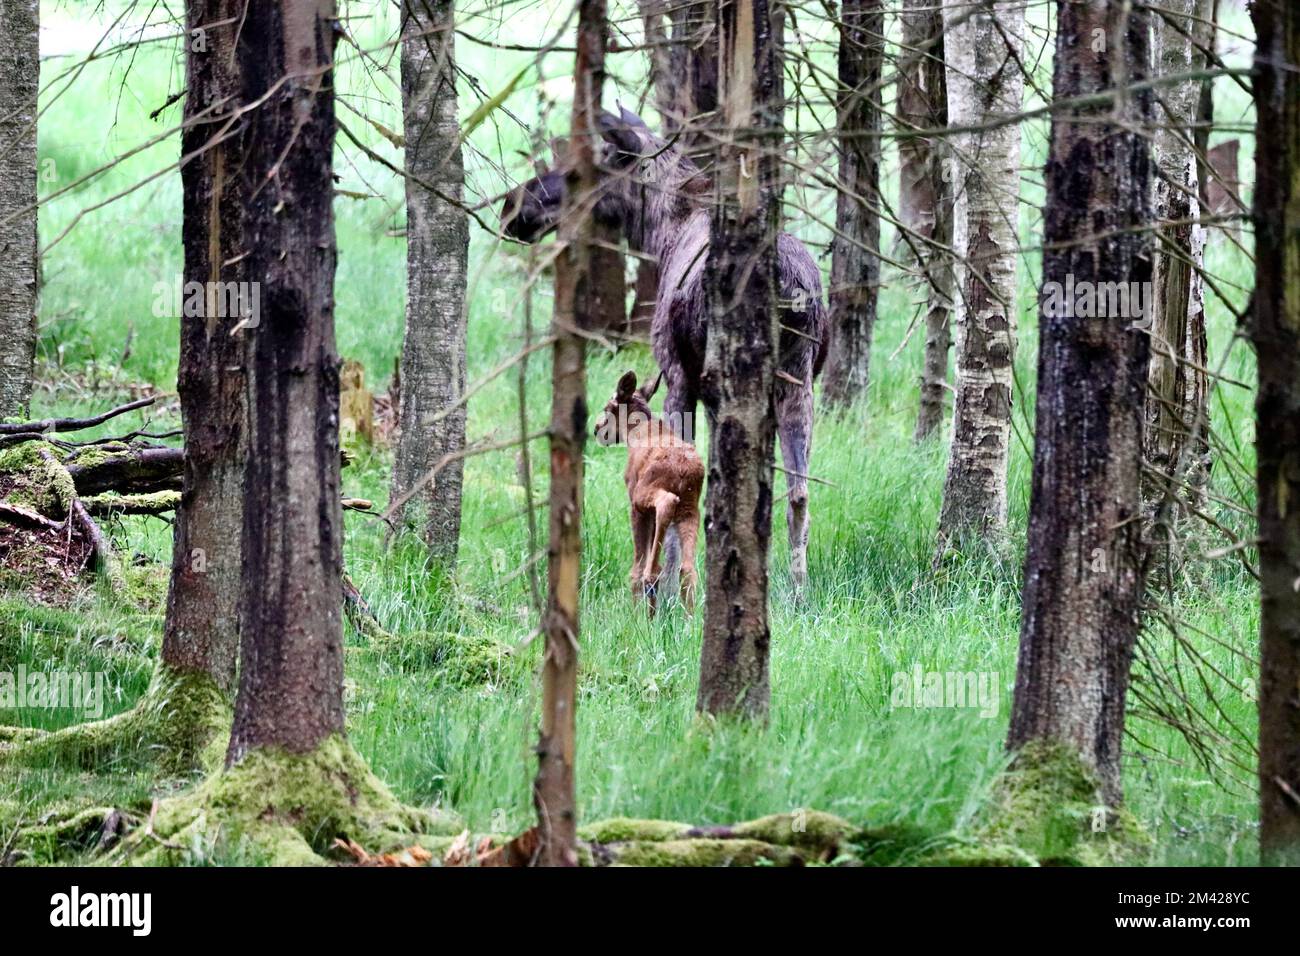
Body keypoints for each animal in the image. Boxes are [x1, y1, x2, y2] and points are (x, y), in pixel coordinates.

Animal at [501, 106, 827, 589]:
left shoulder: (677, 375)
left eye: (595, 160)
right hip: (798, 383)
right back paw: (798, 590)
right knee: (799, 491)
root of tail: (788, 286)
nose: (513, 205)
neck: (660, 234)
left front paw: (666, 583)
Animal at [593, 369, 703, 615]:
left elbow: (637, 562)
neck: (634, 433)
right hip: (691, 508)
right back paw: (690, 620)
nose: (596, 429)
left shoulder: (636, 505)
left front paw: (637, 614)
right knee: (687, 568)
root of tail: (684, 471)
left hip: (646, 495)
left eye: (607, 408)